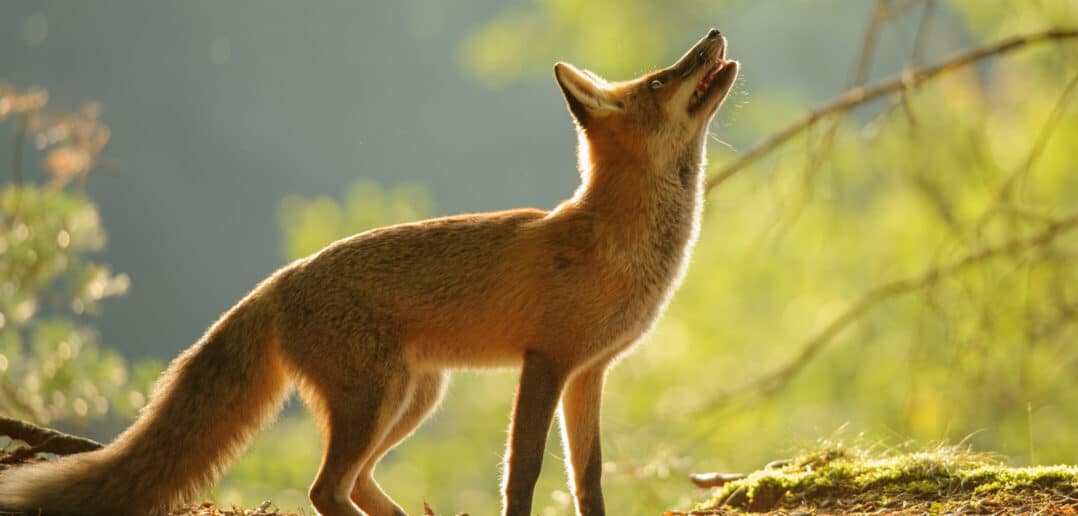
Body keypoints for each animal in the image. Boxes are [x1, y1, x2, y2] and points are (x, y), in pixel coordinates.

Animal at [0, 29, 738, 516]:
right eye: (661, 81)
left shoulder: (589, 371)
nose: (712, 35)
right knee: (326, 488)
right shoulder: (546, 361)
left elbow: (588, 477)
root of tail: (280, 280)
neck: (612, 243)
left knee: (353, 484)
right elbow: (523, 471)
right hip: (377, 399)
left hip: (414, 396)